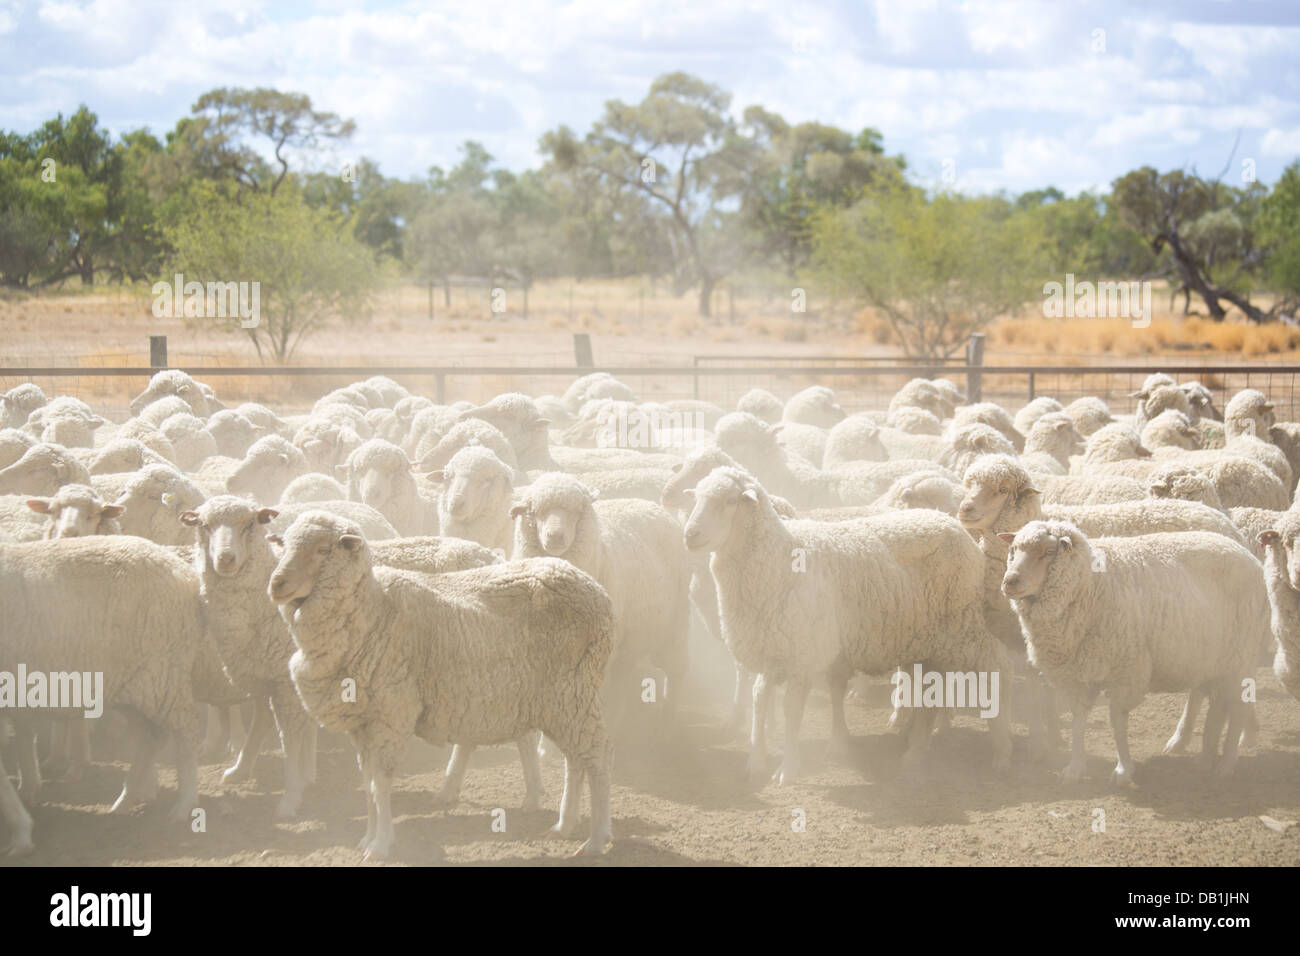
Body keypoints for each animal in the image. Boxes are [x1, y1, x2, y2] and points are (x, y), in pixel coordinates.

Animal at [267, 511, 615, 858]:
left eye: (323, 550)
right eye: (283, 545)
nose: (276, 583)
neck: (373, 614)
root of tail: (595, 589)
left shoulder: (390, 717)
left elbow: (380, 783)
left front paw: (381, 843)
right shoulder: (362, 723)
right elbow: (367, 783)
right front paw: (367, 838)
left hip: (573, 692)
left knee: (597, 760)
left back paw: (596, 839)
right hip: (561, 701)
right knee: (575, 761)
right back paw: (564, 825)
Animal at [512, 472, 691, 731]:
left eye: (578, 511)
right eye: (534, 511)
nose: (555, 537)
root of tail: (651, 504)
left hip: (673, 624)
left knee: (676, 671)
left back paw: (667, 720)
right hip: (630, 643)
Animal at [681, 466, 1011, 782]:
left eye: (730, 501)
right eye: (696, 498)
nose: (690, 534)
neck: (778, 557)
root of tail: (950, 522)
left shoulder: (802, 655)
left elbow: (792, 711)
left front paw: (788, 768)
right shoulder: (770, 648)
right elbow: (760, 700)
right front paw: (756, 762)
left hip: (964, 626)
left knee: (996, 669)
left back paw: (999, 749)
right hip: (928, 638)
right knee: (930, 690)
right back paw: (915, 744)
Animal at [1001, 520, 1265, 783]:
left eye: (1048, 552)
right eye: (1013, 549)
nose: (1010, 581)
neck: (1090, 584)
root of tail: (1245, 552)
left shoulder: (1126, 671)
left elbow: (1117, 720)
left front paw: (1123, 769)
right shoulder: (1076, 675)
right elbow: (1078, 719)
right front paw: (1075, 767)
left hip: (1241, 655)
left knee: (1238, 706)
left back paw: (1227, 762)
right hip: (1210, 657)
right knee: (1214, 702)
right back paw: (1202, 754)